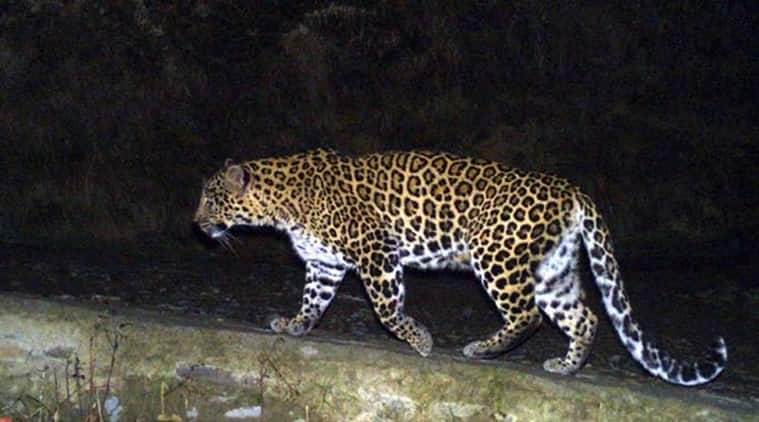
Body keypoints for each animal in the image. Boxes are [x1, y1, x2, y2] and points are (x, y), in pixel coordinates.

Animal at [194, 149, 727, 386]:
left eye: (211, 198)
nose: (196, 223)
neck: (280, 202)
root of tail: (571, 189)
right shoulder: (324, 264)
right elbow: (312, 302)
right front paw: (295, 325)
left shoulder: (375, 250)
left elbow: (386, 309)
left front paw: (420, 341)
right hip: (552, 270)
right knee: (585, 317)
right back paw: (566, 366)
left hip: (497, 255)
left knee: (528, 315)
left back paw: (482, 350)